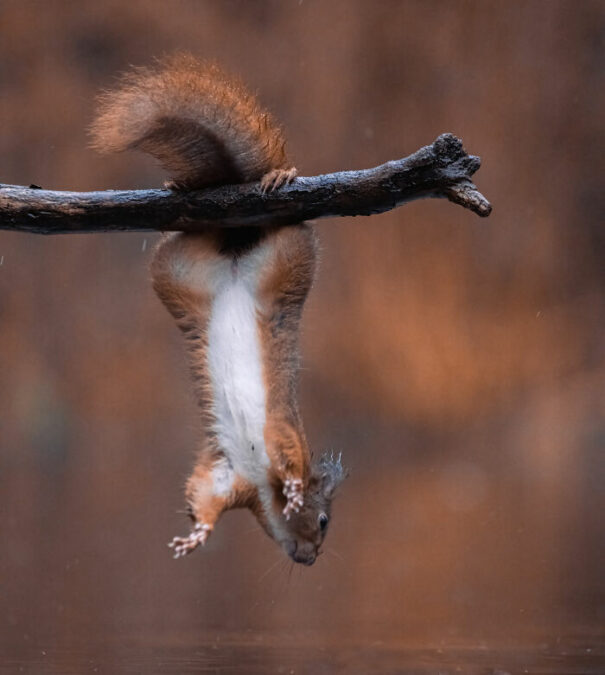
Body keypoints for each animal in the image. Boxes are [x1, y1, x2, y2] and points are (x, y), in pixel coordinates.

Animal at [90, 54, 345, 566]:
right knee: (289, 226)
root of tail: (235, 250)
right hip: (260, 261)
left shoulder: (251, 456)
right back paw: (273, 180)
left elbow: (219, 486)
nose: (310, 559)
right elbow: (222, 487)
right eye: (324, 520)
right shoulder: (257, 452)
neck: (259, 479)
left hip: (216, 266)